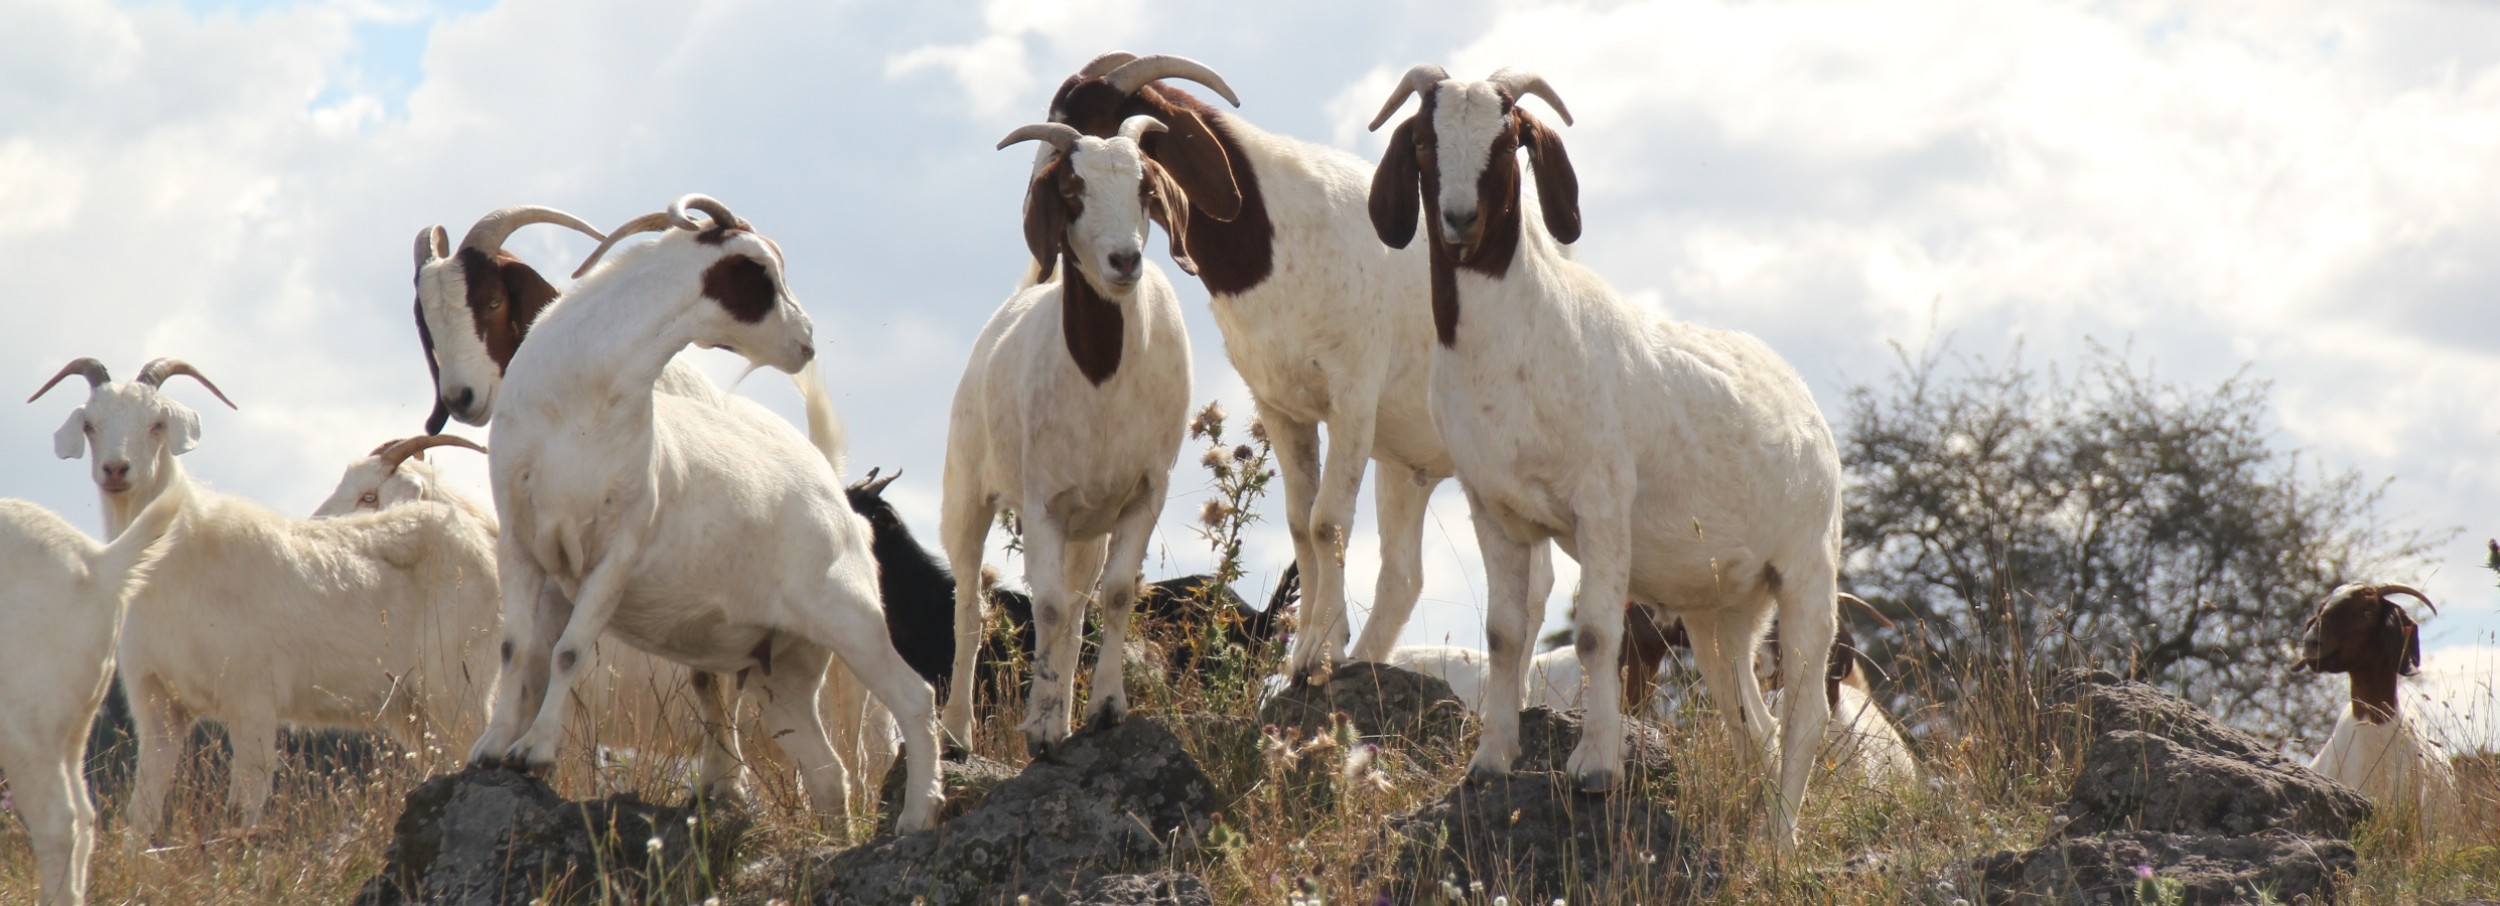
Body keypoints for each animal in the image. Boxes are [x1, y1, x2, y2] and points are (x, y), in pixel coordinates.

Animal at [465, 195, 940, 832]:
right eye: (760, 270)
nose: (808, 339)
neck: (579, 408)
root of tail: (842, 509)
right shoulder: (522, 541)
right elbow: (517, 647)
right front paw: (492, 749)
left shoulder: (615, 552)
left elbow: (567, 651)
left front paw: (534, 752)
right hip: (781, 670)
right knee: (827, 773)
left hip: (851, 618)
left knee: (915, 699)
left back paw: (917, 819)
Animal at [938, 117, 1195, 755]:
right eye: (1074, 192)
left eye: (1145, 189)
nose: (1124, 260)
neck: (1101, 377)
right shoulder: (1043, 502)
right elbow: (1047, 608)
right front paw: (1044, 728)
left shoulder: (1144, 491)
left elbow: (1115, 594)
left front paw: (1104, 708)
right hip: (966, 492)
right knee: (969, 609)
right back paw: (955, 734)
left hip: (1088, 530)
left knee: (1079, 610)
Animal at [1039, 53, 1553, 684]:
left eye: (1096, 119)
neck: (1275, 234)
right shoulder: (1281, 405)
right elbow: (1299, 521)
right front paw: (1314, 649)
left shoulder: (1352, 394)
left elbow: (1328, 520)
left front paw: (1319, 653)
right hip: (1407, 466)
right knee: (1403, 576)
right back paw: (1370, 658)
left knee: (1535, 585)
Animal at [1368, 66, 1844, 850]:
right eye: (1425, 144)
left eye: (1508, 141)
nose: (1460, 220)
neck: (1517, 337)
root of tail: (1803, 400)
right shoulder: (1493, 509)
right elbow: (1504, 634)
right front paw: (1488, 762)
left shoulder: (1600, 504)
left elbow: (1595, 634)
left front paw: (1594, 768)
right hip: (1722, 609)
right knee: (1755, 723)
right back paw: (1753, 830)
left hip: (1808, 567)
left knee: (1805, 710)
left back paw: (1779, 842)